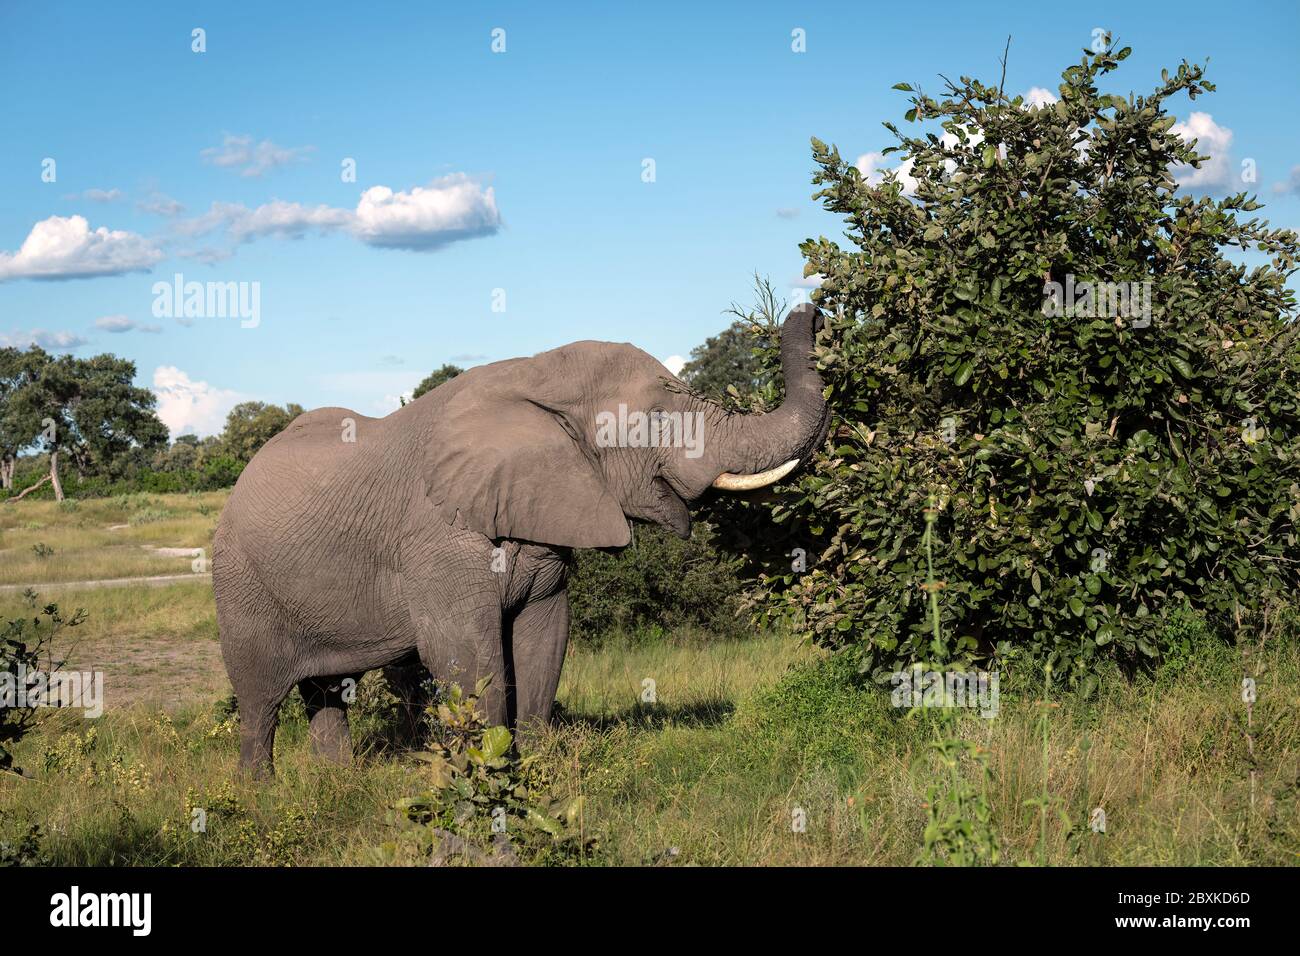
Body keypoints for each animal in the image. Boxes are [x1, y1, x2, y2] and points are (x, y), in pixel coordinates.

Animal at [213, 303, 830, 775]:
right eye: (656, 419)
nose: (813, 310)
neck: (534, 375)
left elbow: (544, 642)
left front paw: (533, 768)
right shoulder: (439, 542)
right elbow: (468, 658)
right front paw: (487, 782)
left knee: (326, 691)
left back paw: (338, 782)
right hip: (238, 583)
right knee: (260, 701)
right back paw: (261, 796)